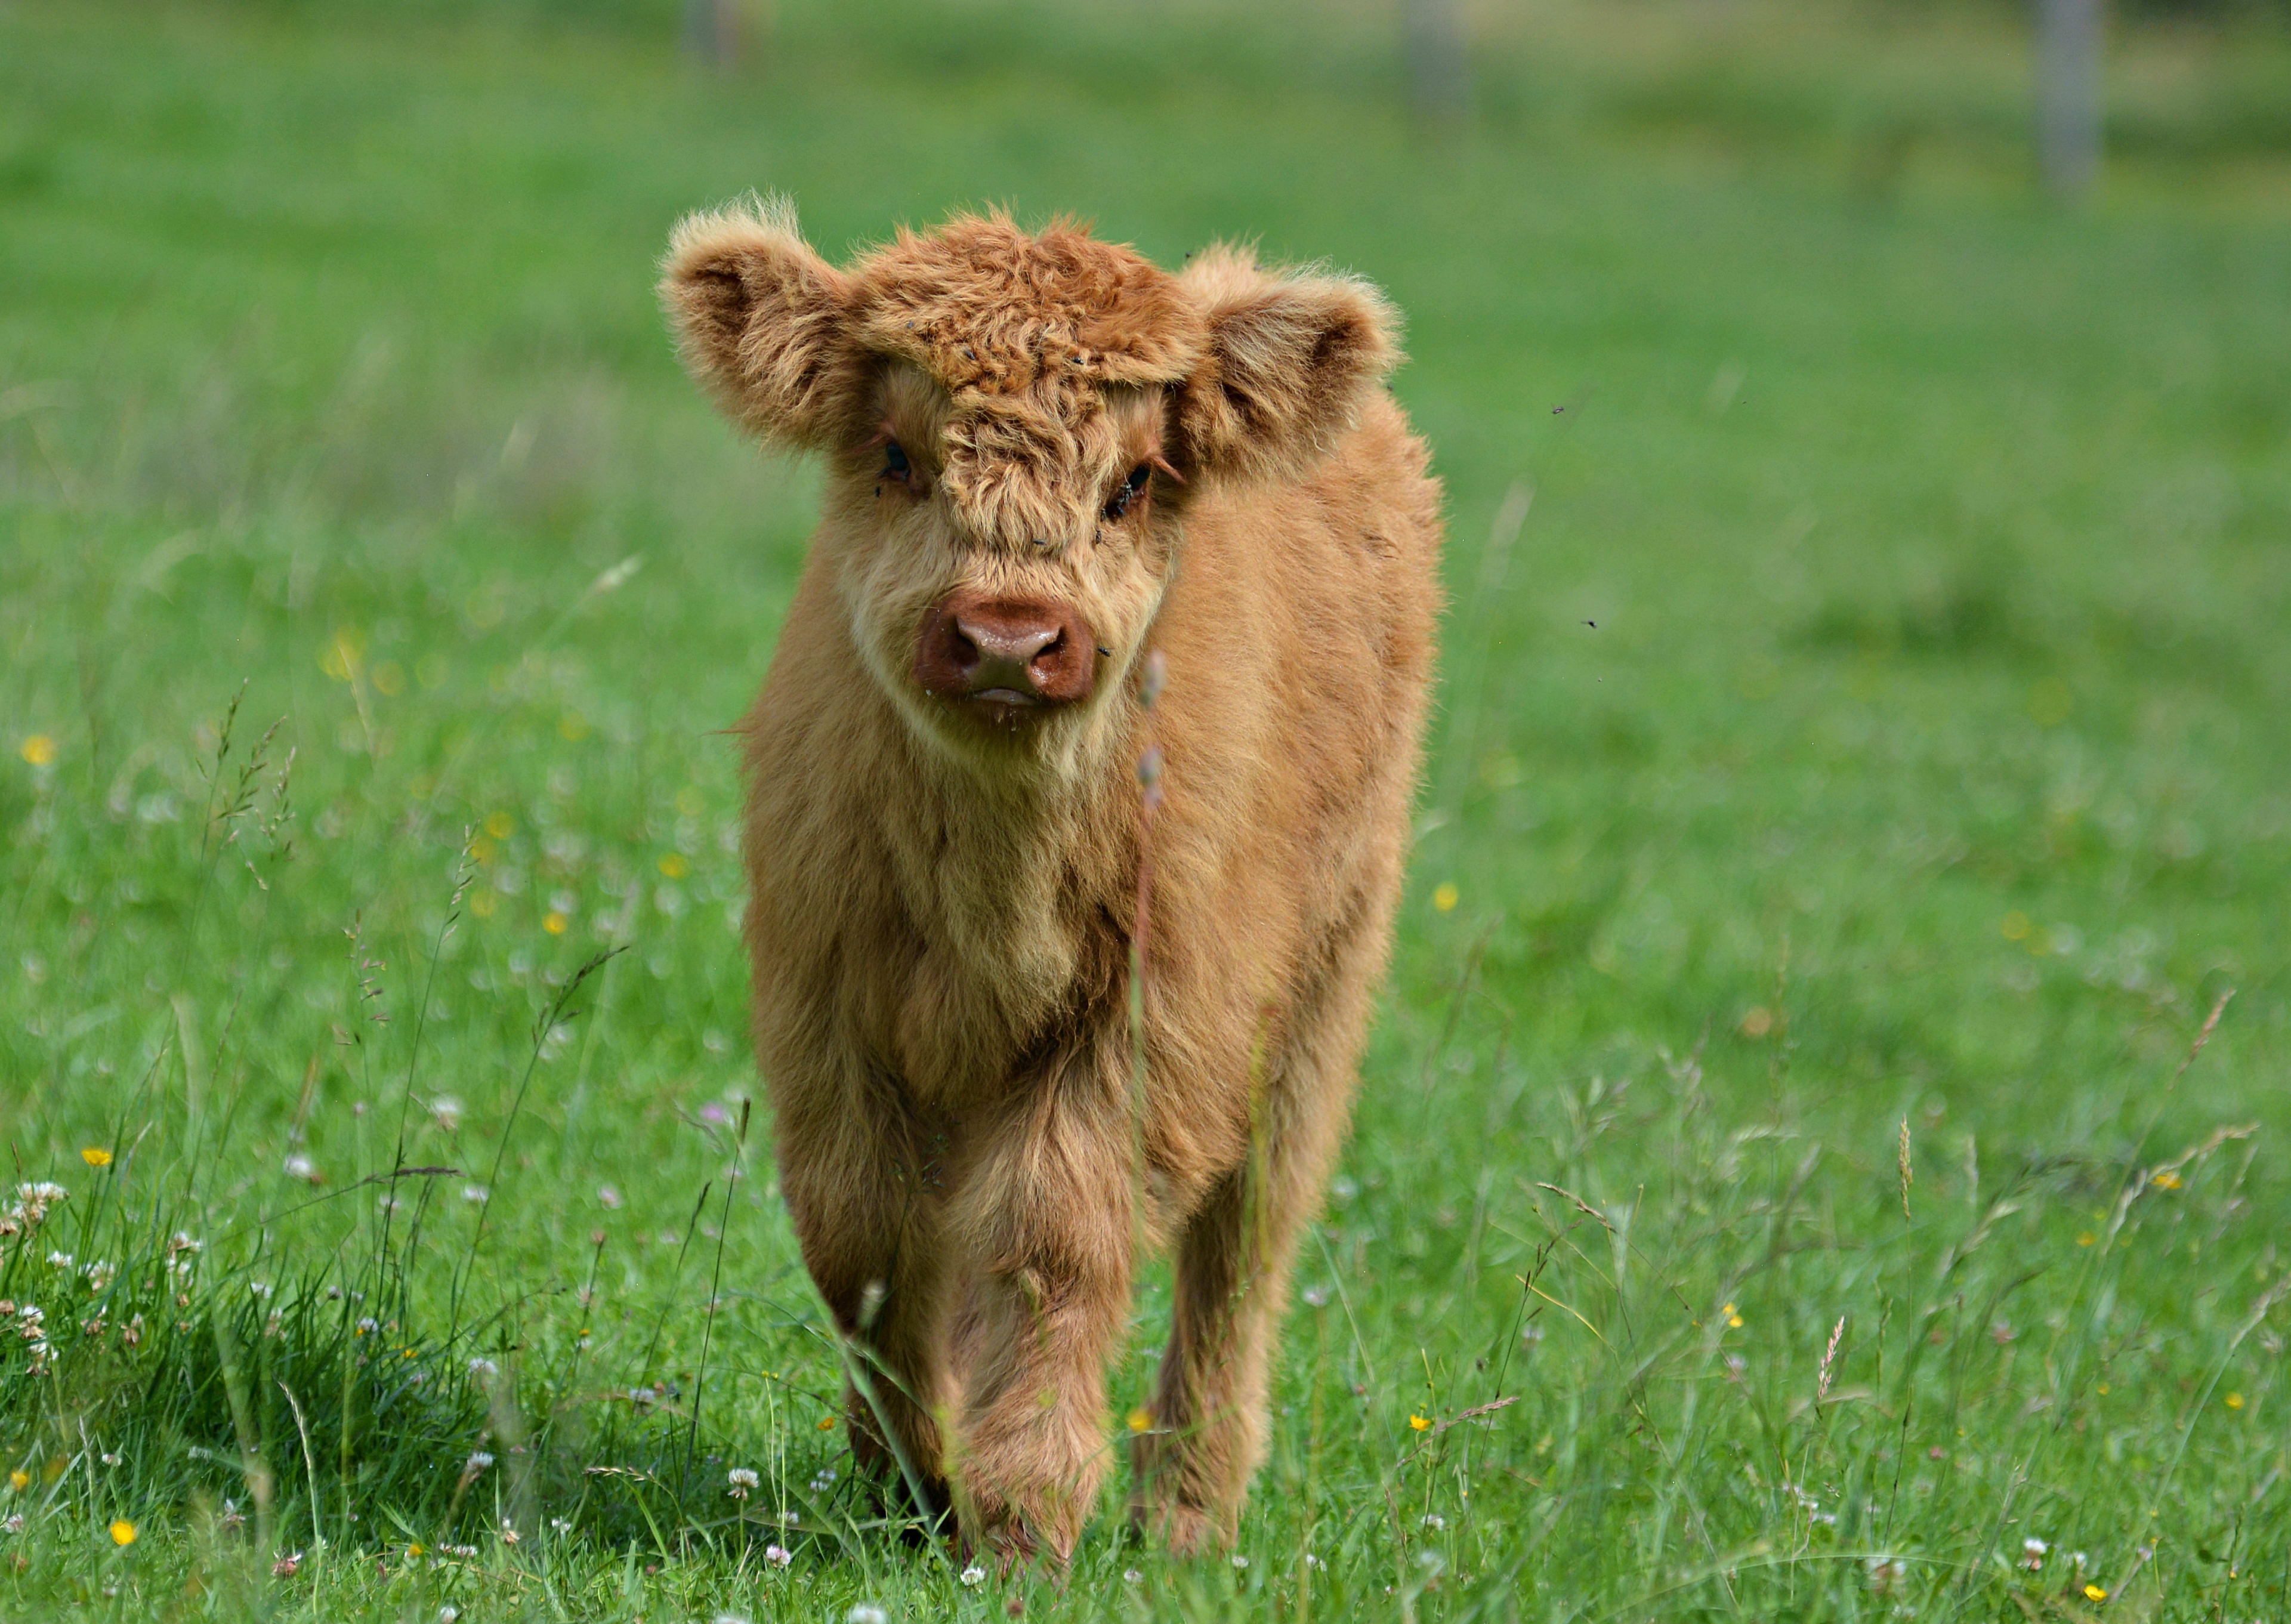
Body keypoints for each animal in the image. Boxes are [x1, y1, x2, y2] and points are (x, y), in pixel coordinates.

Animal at [660, 197, 1442, 1564]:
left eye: (1132, 481)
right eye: (896, 454)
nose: (1009, 638)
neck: (995, 879)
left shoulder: (1144, 1028)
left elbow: (1052, 1237)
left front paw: (1025, 1508)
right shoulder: (824, 1006)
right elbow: (863, 1235)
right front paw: (915, 1478)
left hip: (1323, 990)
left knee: (1244, 1247)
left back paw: (1186, 1514)